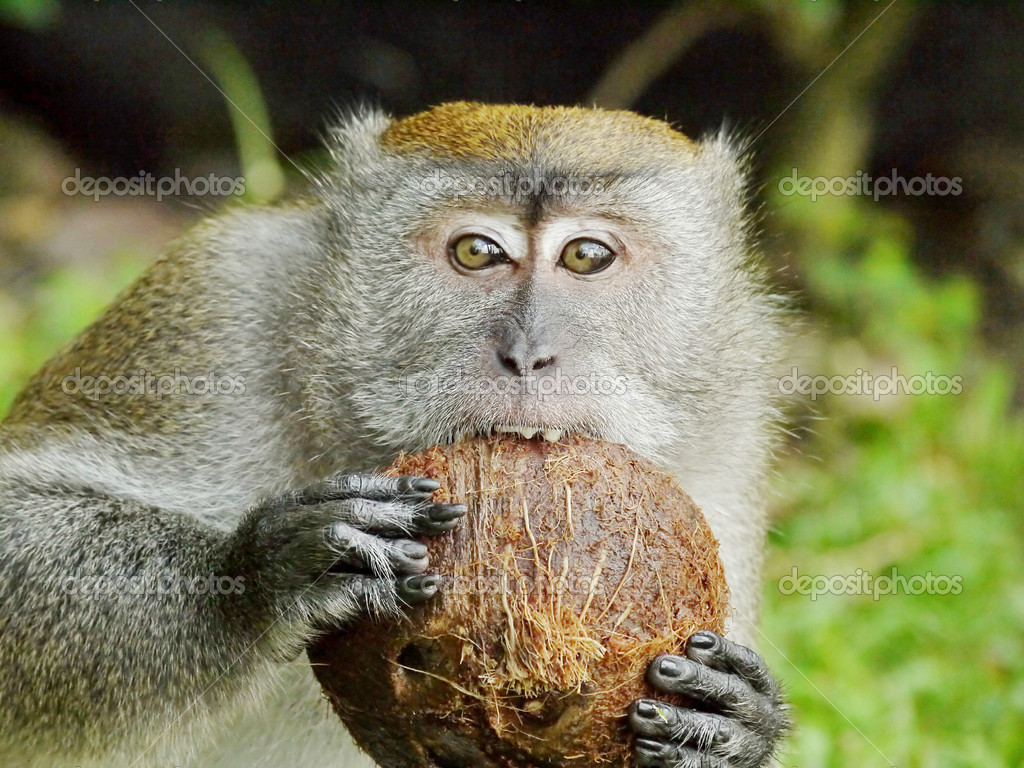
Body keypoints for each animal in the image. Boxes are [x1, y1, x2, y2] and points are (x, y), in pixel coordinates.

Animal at [0, 102, 789, 768]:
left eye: (587, 256)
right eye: (477, 252)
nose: (528, 353)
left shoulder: (731, 424)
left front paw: (732, 727)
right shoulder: (221, 296)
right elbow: (19, 521)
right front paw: (264, 573)